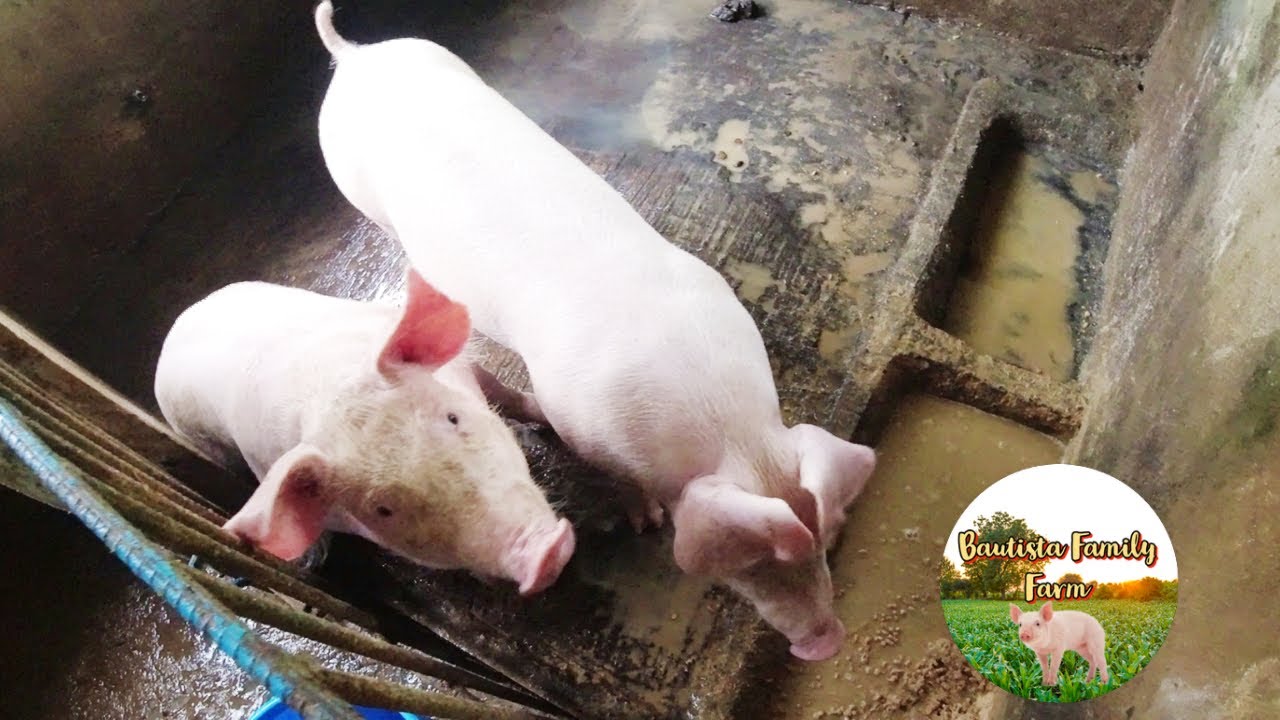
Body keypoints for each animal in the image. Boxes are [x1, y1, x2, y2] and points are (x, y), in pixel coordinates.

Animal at [153, 274, 575, 596]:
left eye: (453, 418)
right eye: (383, 509)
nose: (546, 552)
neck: (327, 388)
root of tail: (176, 324)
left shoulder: (464, 368)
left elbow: (505, 394)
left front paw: (538, 425)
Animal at [312, 1, 876, 660]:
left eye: (825, 540)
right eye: (748, 565)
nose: (826, 642)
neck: (725, 424)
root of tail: (353, 56)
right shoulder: (579, 421)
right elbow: (613, 475)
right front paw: (647, 521)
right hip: (350, 183)